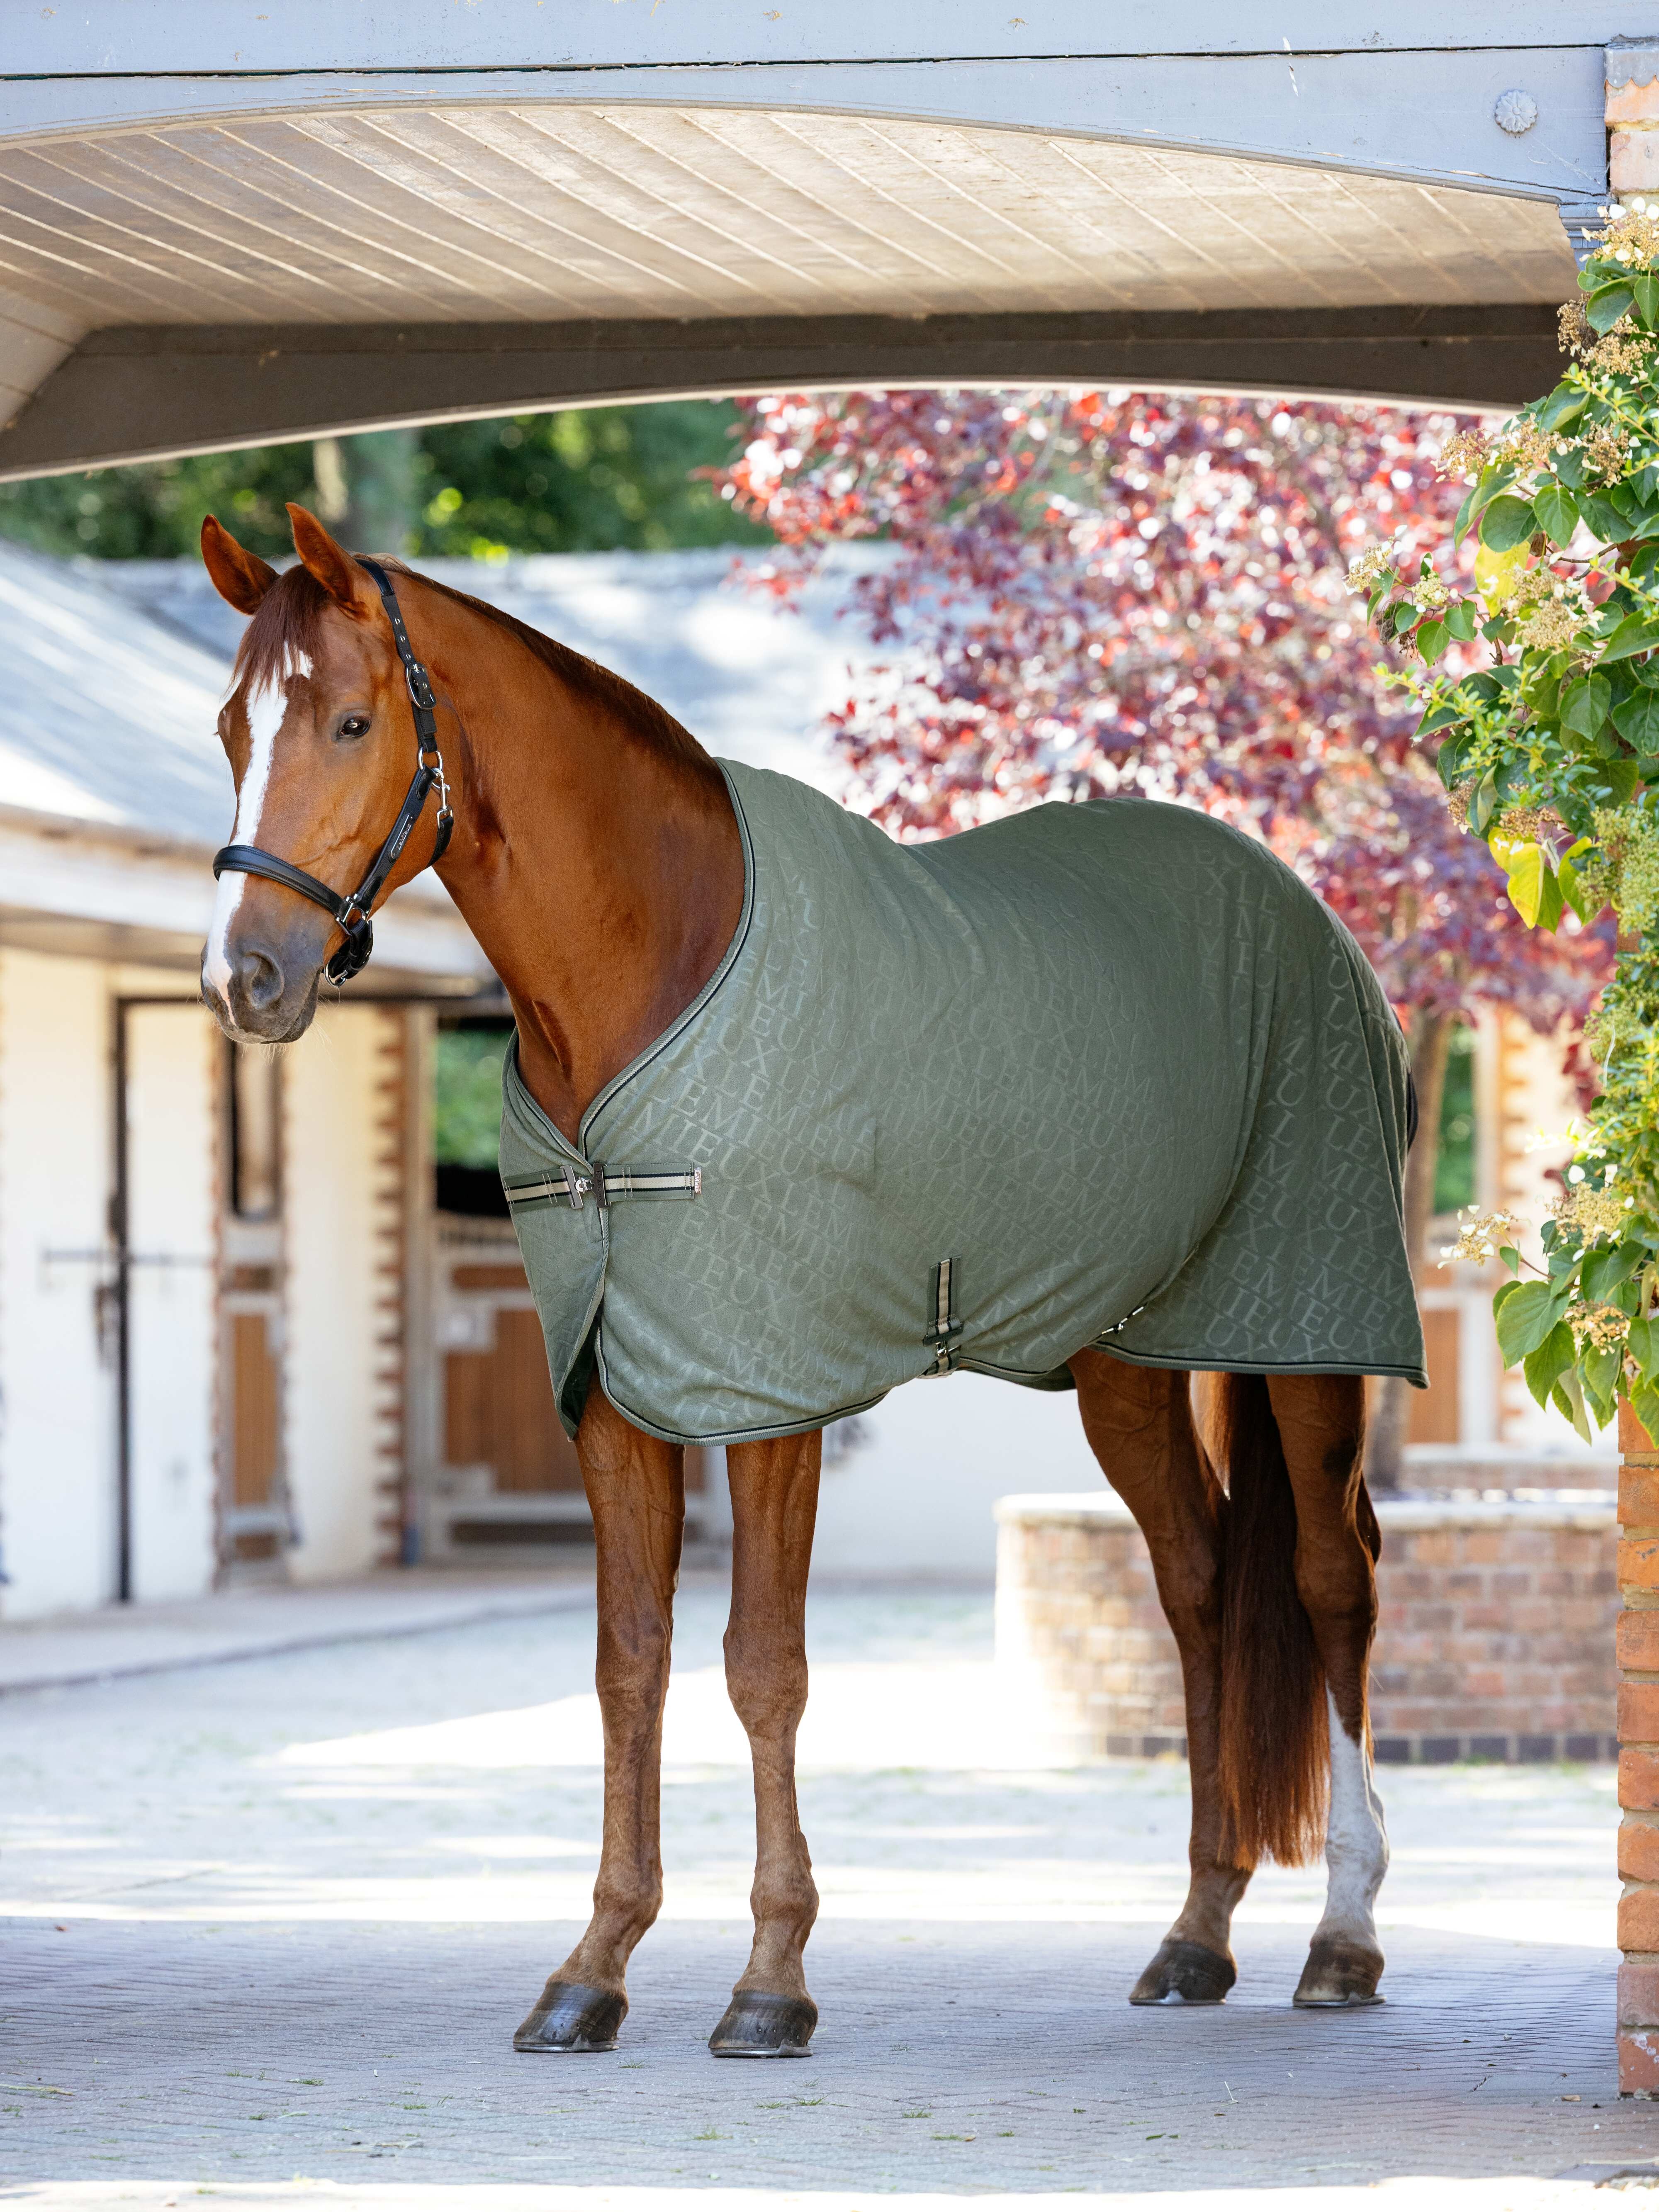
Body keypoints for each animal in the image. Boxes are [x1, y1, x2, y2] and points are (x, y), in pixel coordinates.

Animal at [196, 503, 1407, 2057]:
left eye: (351, 720)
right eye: (234, 725)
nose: (246, 977)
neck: (661, 959)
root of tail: (1303, 911)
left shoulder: (766, 1392)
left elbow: (761, 1664)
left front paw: (770, 1977)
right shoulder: (614, 1387)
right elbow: (630, 1661)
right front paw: (591, 1967)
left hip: (1309, 1329)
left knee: (1332, 1583)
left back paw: (1344, 1937)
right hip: (1129, 1360)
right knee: (1196, 1583)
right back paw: (1196, 1933)